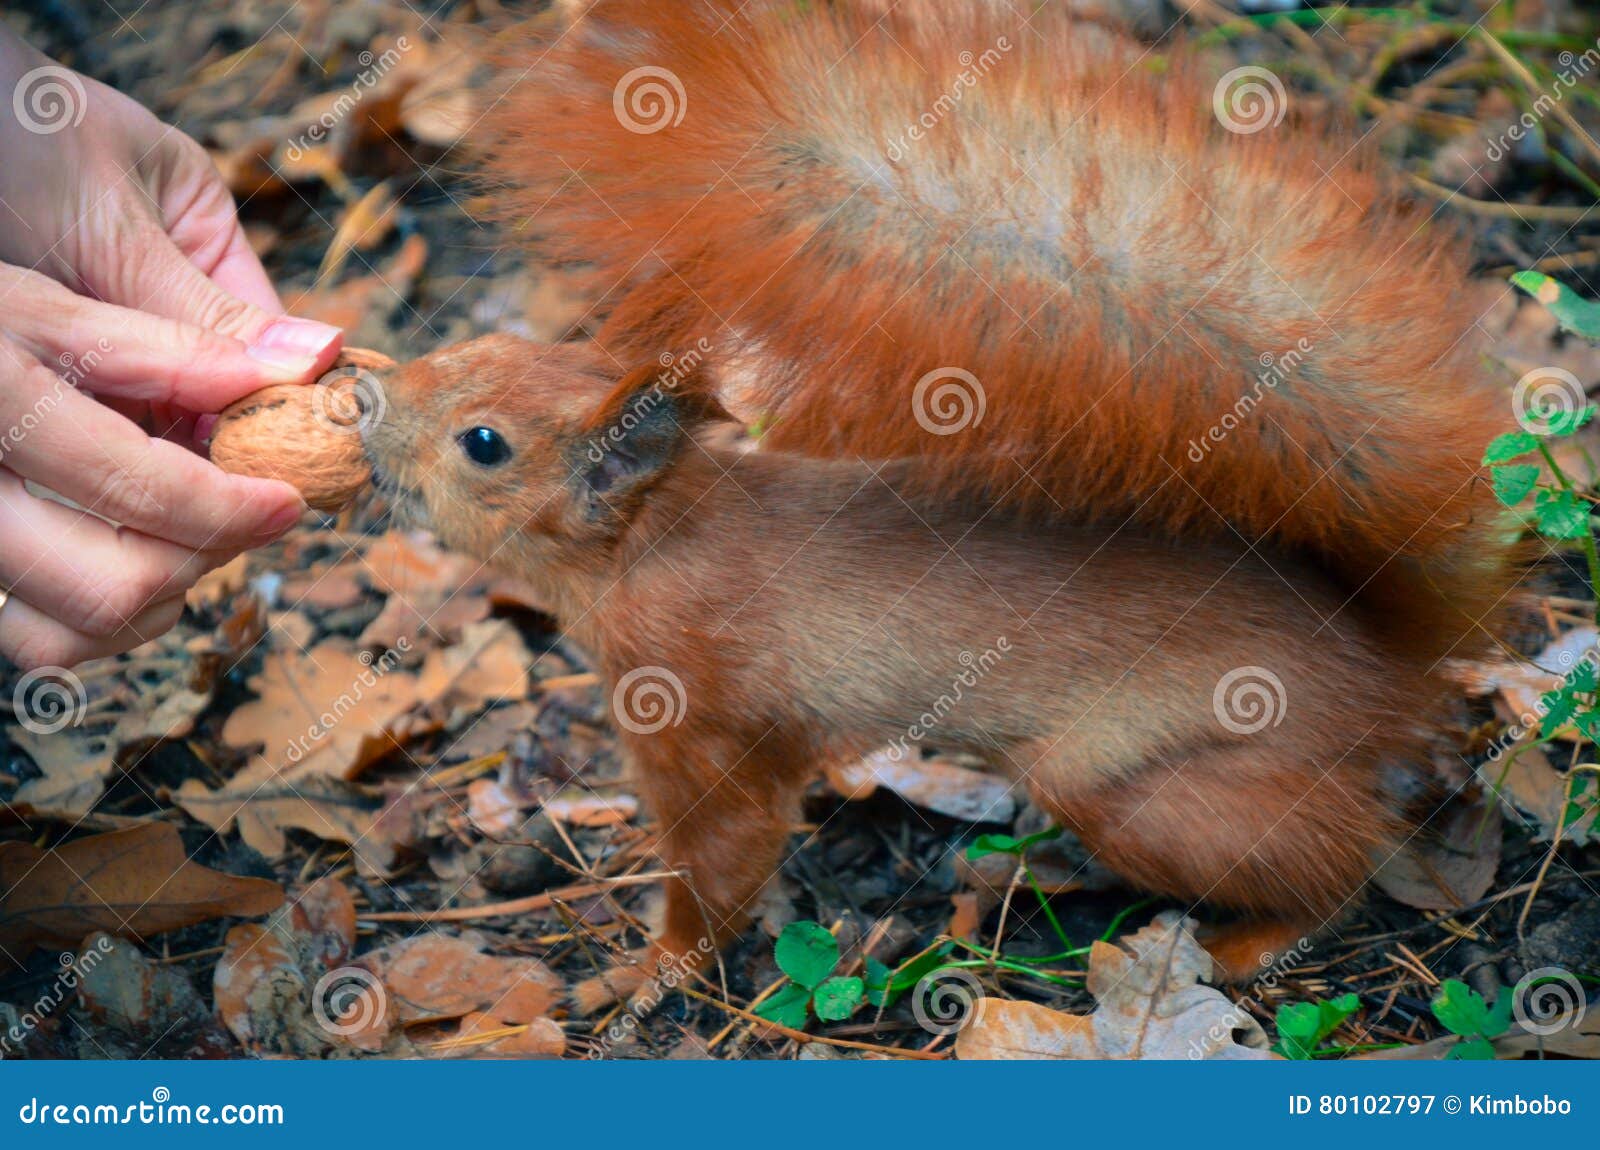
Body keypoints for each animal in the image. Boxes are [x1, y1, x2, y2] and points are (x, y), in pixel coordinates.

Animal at [362, 0, 1519, 1000]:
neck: (651, 541)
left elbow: (722, 853)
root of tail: (1379, 660)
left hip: (1147, 779)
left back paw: (1250, 939)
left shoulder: (693, 703)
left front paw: (654, 972)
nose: (367, 399)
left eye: (483, 444)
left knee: (1332, 862)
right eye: (468, 350)